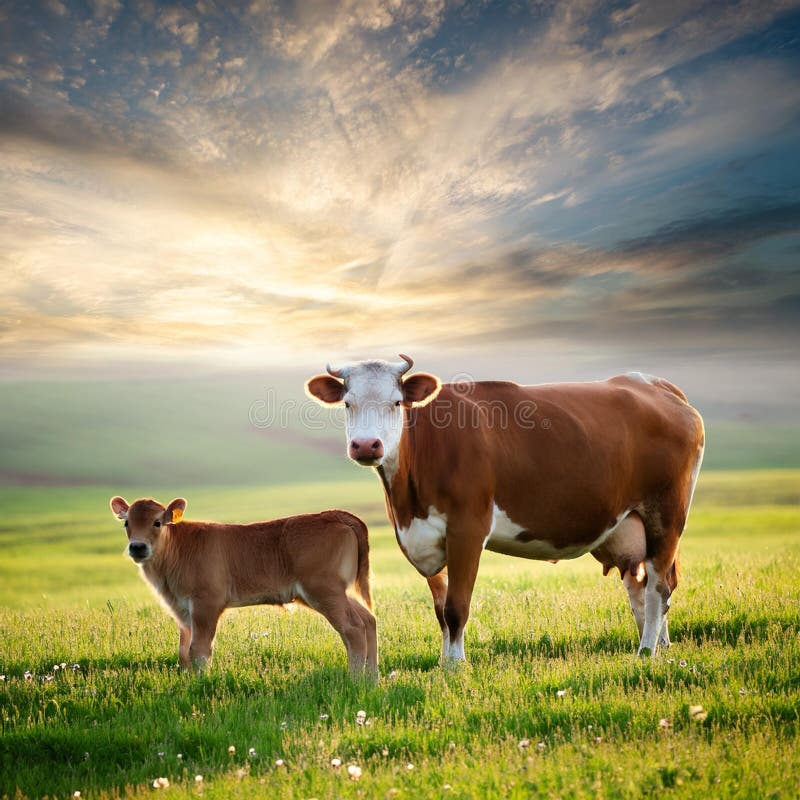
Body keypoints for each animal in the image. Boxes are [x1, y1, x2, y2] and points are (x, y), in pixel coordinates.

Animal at [109, 496, 377, 677]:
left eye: (157, 523)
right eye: (126, 524)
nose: (137, 547)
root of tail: (331, 514)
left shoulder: (206, 604)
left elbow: (199, 650)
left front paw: (201, 684)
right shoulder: (182, 610)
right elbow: (183, 652)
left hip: (325, 590)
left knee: (353, 628)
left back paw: (355, 681)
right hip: (341, 592)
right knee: (368, 620)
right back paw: (371, 679)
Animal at [305, 355, 704, 662]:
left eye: (396, 402)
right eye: (347, 404)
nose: (366, 445)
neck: (408, 501)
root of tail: (651, 383)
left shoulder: (467, 529)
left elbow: (456, 607)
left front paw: (455, 666)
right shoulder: (422, 536)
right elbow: (440, 610)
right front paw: (442, 662)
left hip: (666, 514)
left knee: (657, 587)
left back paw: (646, 651)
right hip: (627, 527)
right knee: (642, 586)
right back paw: (659, 646)